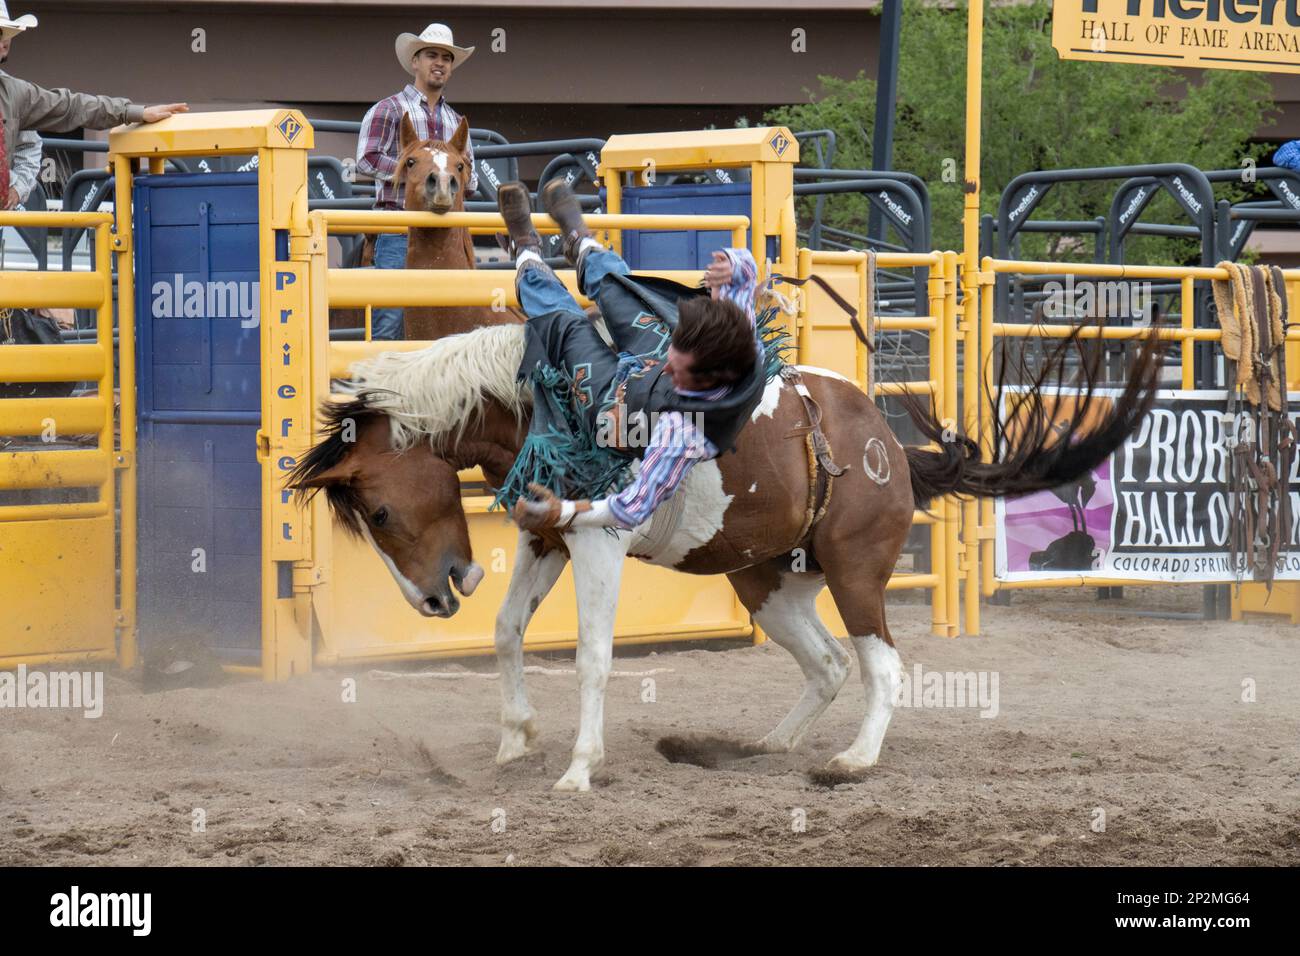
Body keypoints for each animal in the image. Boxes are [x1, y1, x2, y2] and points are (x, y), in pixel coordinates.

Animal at [291, 322, 1162, 792]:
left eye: (379, 511)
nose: (436, 599)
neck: (546, 396)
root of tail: (888, 446)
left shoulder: (598, 540)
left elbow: (593, 658)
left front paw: (578, 768)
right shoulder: (547, 537)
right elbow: (508, 632)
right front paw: (514, 740)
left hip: (856, 573)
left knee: (881, 664)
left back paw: (852, 759)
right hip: (768, 584)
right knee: (826, 664)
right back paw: (771, 745)